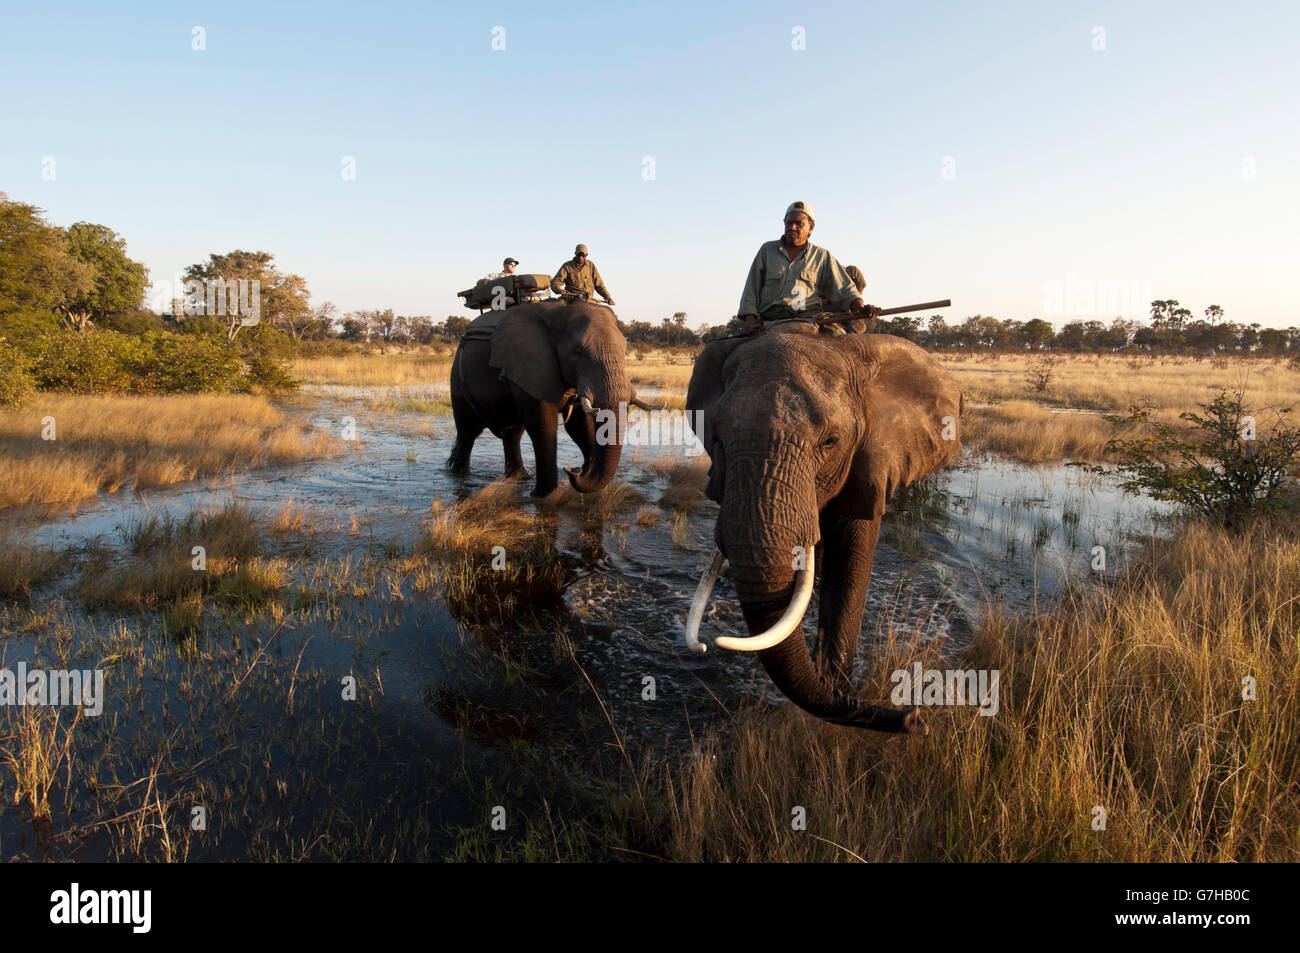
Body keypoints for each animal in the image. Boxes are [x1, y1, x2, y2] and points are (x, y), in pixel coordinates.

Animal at [447, 299, 658, 496]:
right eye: (577, 352)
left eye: (625, 350)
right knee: (467, 431)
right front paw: (540, 496)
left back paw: (519, 478)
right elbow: (543, 426)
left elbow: (579, 426)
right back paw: (459, 476)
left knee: (512, 433)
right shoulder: (531, 364)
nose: (574, 469)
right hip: (458, 379)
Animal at [682, 325, 963, 733]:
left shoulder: (871, 461)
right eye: (716, 439)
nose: (916, 719)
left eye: (830, 442)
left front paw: (837, 683)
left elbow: (848, 565)